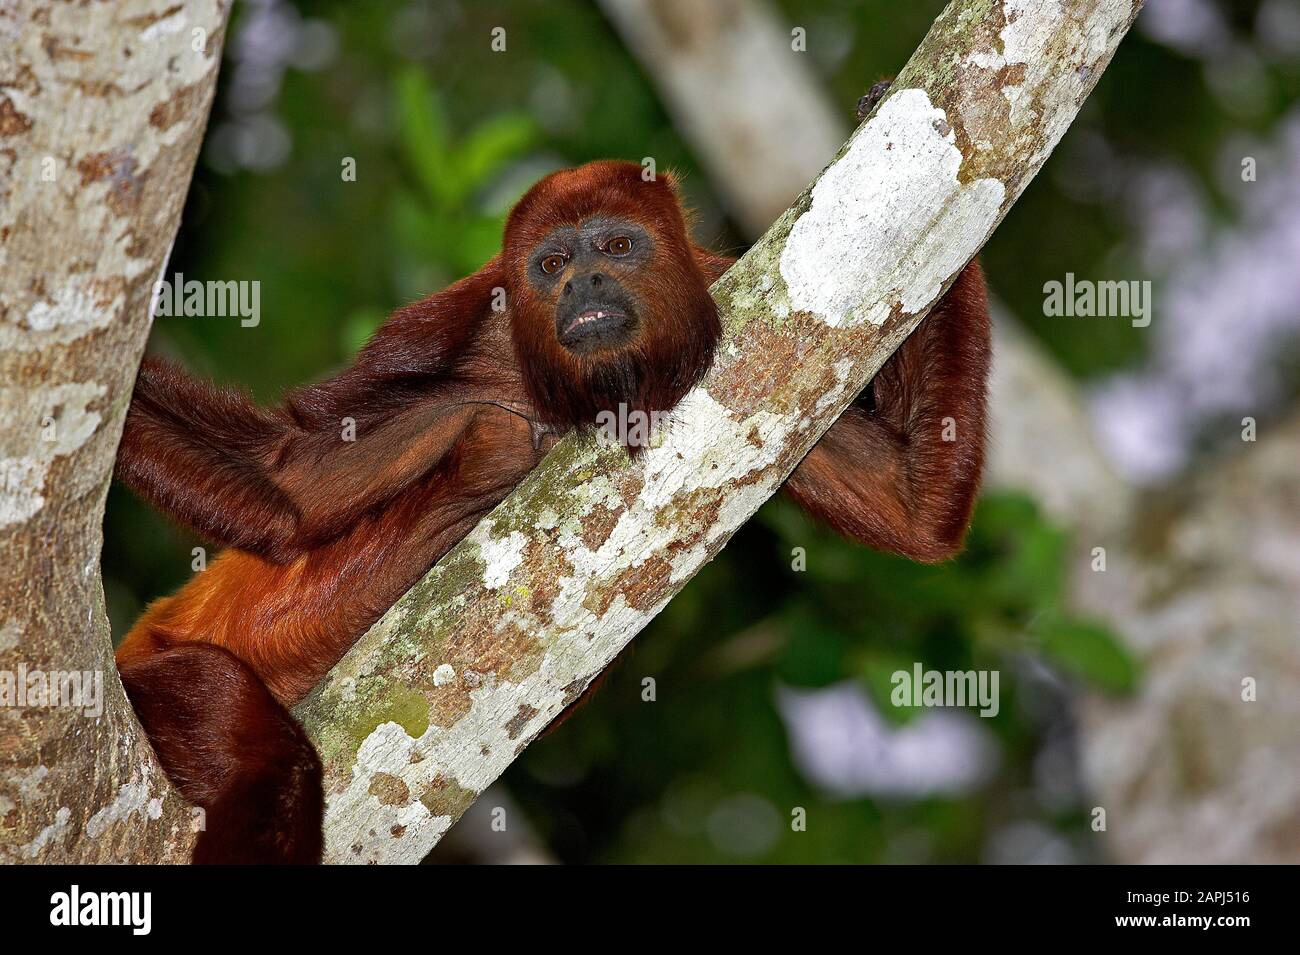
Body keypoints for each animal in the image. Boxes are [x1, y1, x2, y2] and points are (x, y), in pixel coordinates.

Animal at [114, 108, 989, 863]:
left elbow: (908, 505)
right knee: (258, 744)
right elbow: (290, 482)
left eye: (616, 244)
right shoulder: (453, 326)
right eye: (554, 263)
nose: (584, 286)